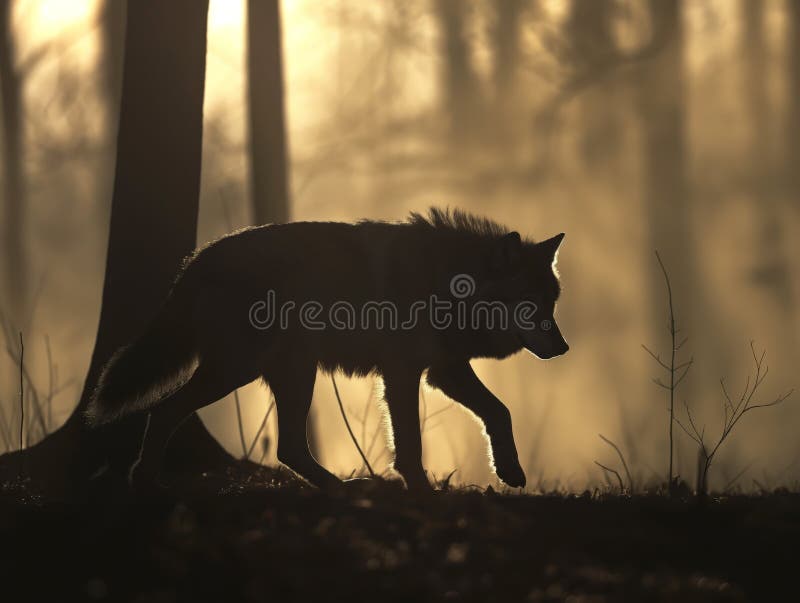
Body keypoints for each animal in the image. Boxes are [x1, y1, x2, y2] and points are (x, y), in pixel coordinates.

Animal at [86, 208, 568, 491]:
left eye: (552, 302)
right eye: (530, 303)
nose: (564, 347)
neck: (446, 282)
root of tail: (195, 259)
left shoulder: (443, 371)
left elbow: (499, 411)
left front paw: (510, 470)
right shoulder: (403, 372)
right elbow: (410, 442)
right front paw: (420, 491)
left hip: (291, 373)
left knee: (287, 448)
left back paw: (342, 491)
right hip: (242, 369)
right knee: (164, 410)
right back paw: (144, 478)